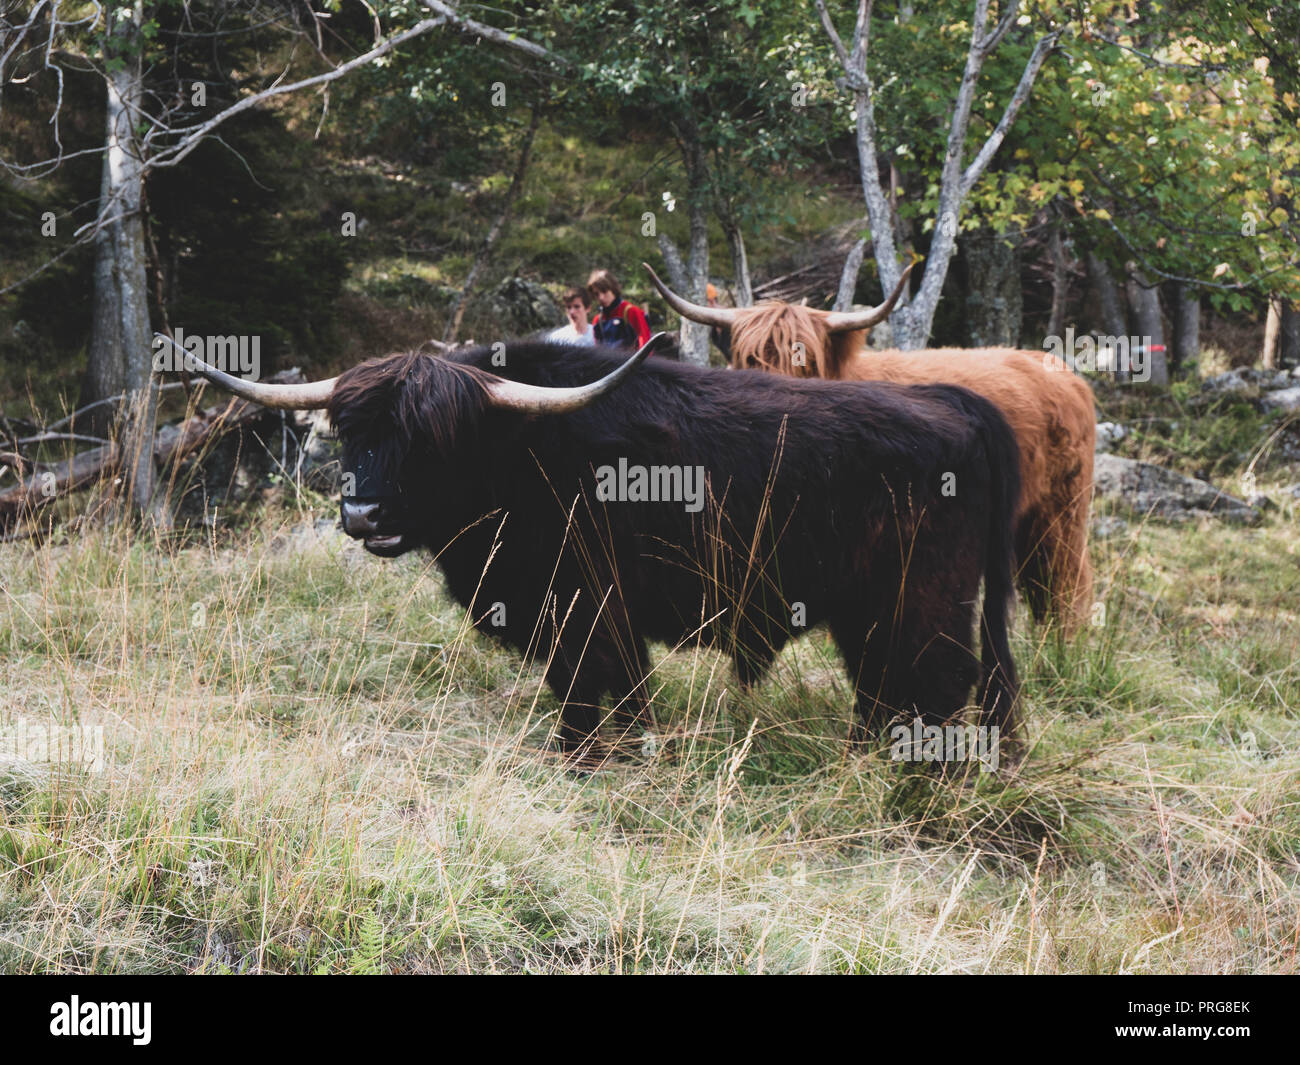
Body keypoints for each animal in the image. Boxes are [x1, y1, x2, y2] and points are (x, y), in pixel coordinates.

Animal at [168, 334, 1023, 766]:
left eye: (430, 439)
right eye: (350, 430)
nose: (361, 510)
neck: (522, 451)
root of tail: (956, 402)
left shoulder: (584, 607)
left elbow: (586, 691)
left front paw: (577, 757)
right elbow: (615, 692)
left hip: (924, 604)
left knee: (937, 685)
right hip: (870, 613)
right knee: (883, 689)